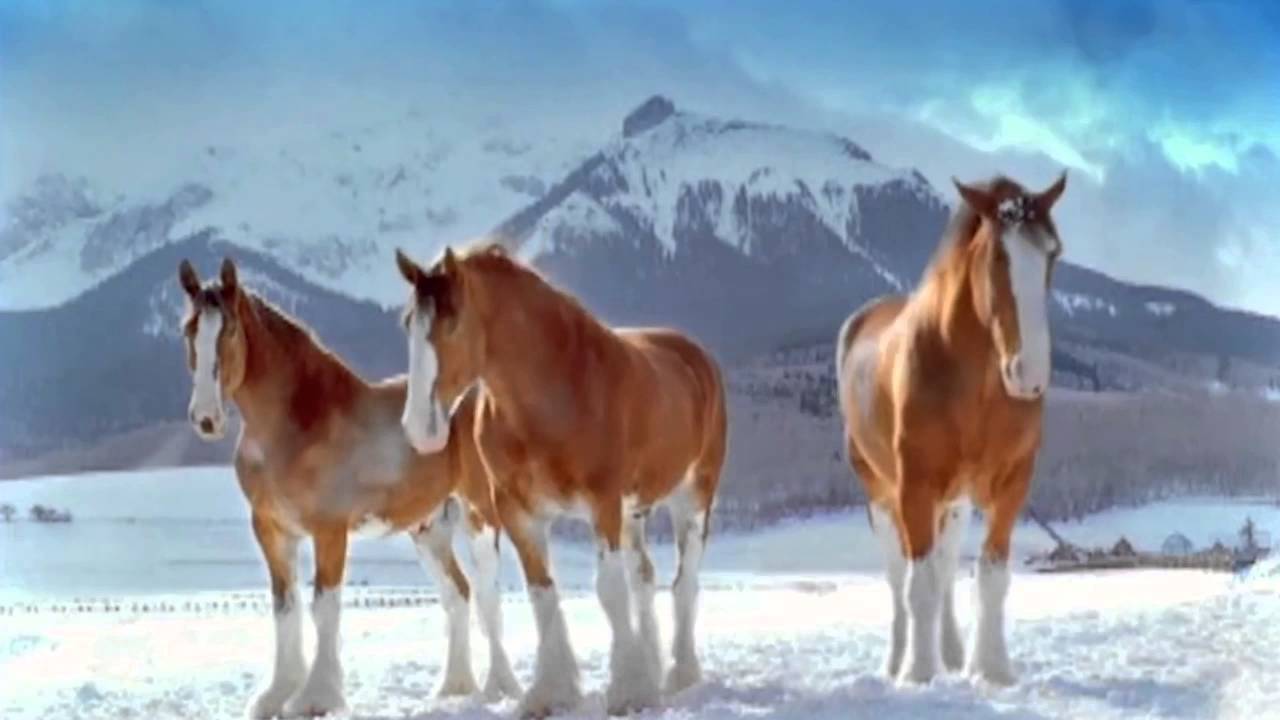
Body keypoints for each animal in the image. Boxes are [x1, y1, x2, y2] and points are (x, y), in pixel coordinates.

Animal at [177, 257, 521, 718]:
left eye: (228, 329)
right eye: (189, 329)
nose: (206, 418)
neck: (296, 424)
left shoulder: (329, 530)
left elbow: (324, 607)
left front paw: (316, 696)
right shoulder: (272, 531)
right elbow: (285, 608)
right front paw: (276, 694)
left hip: (479, 513)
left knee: (487, 594)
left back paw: (499, 688)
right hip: (429, 529)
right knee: (459, 595)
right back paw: (451, 688)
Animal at [394, 243, 728, 717]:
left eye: (453, 321)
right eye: (408, 323)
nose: (420, 429)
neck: (555, 399)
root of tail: (694, 353)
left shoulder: (603, 504)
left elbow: (608, 590)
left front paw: (625, 692)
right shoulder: (518, 513)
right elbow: (543, 594)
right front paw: (550, 693)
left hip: (694, 497)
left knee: (685, 582)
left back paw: (681, 674)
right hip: (636, 512)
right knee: (643, 578)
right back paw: (651, 667)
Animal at [835, 173, 1067, 686]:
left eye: (1053, 253)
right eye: (998, 256)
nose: (1029, 375)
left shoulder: (1012, 484)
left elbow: (990, 577)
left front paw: (993, 669)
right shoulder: (915, 487)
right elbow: (917, 583)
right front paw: (919, 673)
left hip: (955, 503)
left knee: (944, 568)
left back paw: (954, 653)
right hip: (882, 494)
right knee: (899, 578)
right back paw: (898, 660)